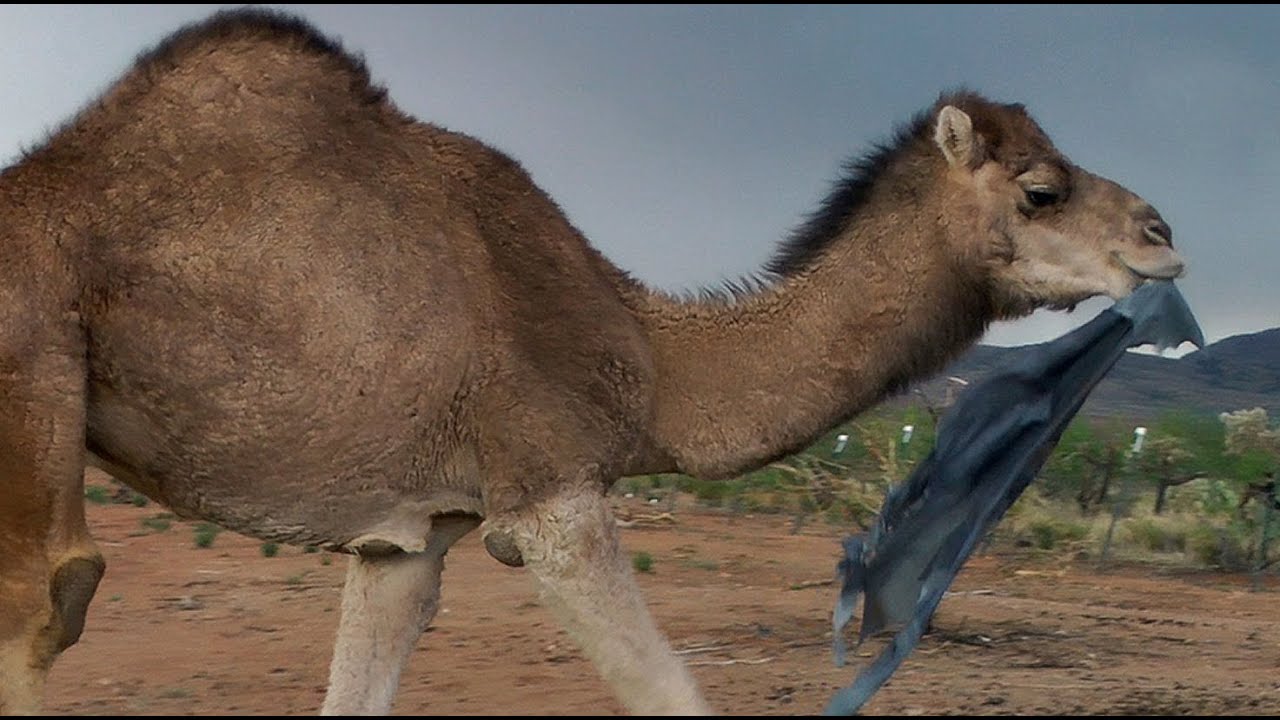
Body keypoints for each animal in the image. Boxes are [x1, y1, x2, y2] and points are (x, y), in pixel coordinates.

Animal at [0, 9, 1186, 716]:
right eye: (1040, 189)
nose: (1162, 232)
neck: (650, 352)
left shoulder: (408, 535)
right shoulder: (551, 493)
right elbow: (670, 692)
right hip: (30, 351)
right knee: (47, 596)